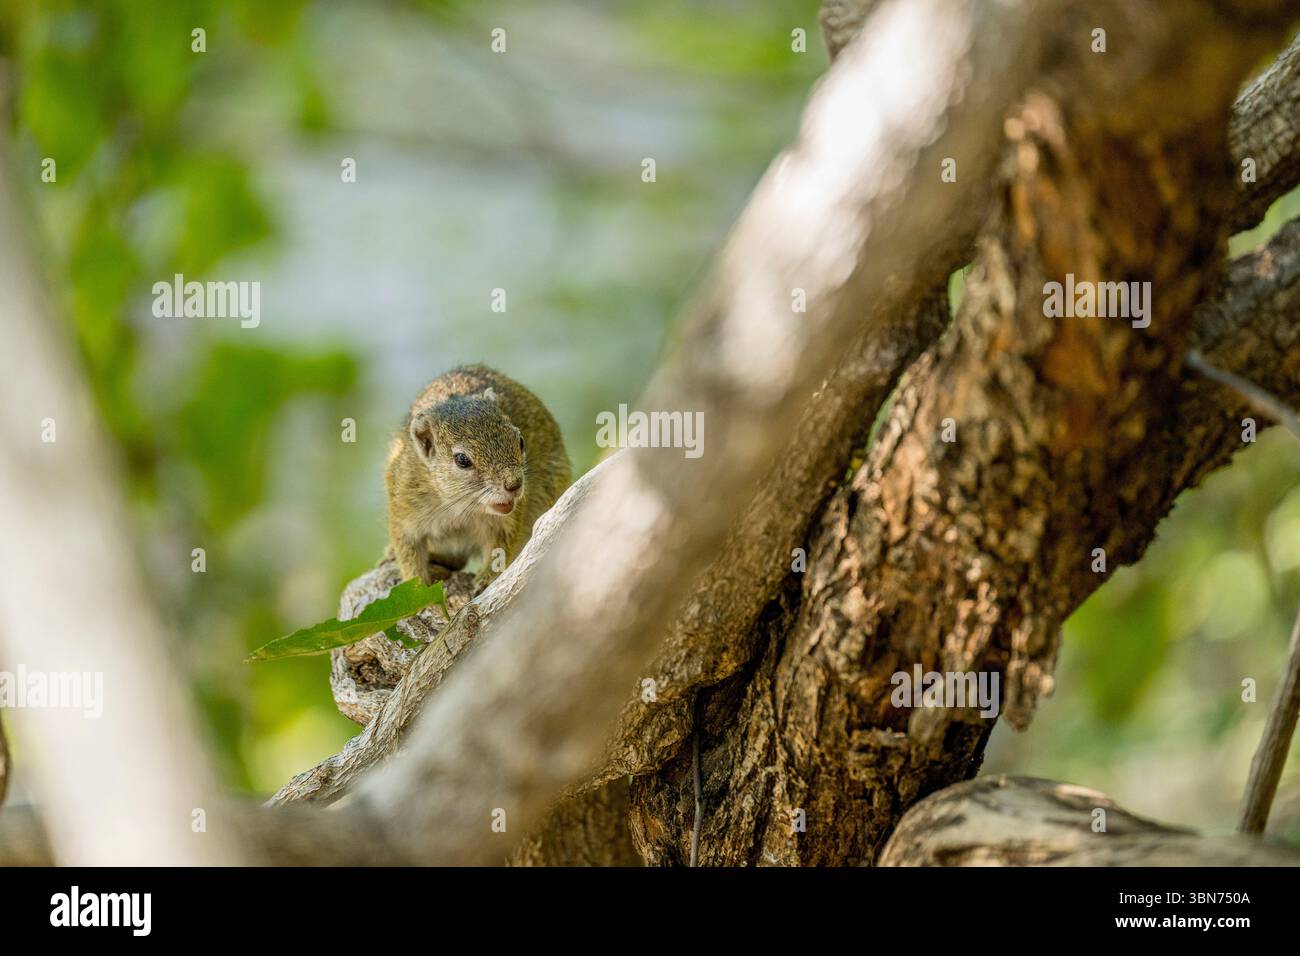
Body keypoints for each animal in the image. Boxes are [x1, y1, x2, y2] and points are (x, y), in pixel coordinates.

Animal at [385, 364, 570, 590]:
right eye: (462, 460)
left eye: (521, 441)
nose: (514, 484)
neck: (461, 507)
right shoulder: (405, 510)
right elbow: (409, 556)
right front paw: (420, 588)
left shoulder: (507, 524)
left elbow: (500, 550)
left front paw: (486, 579)